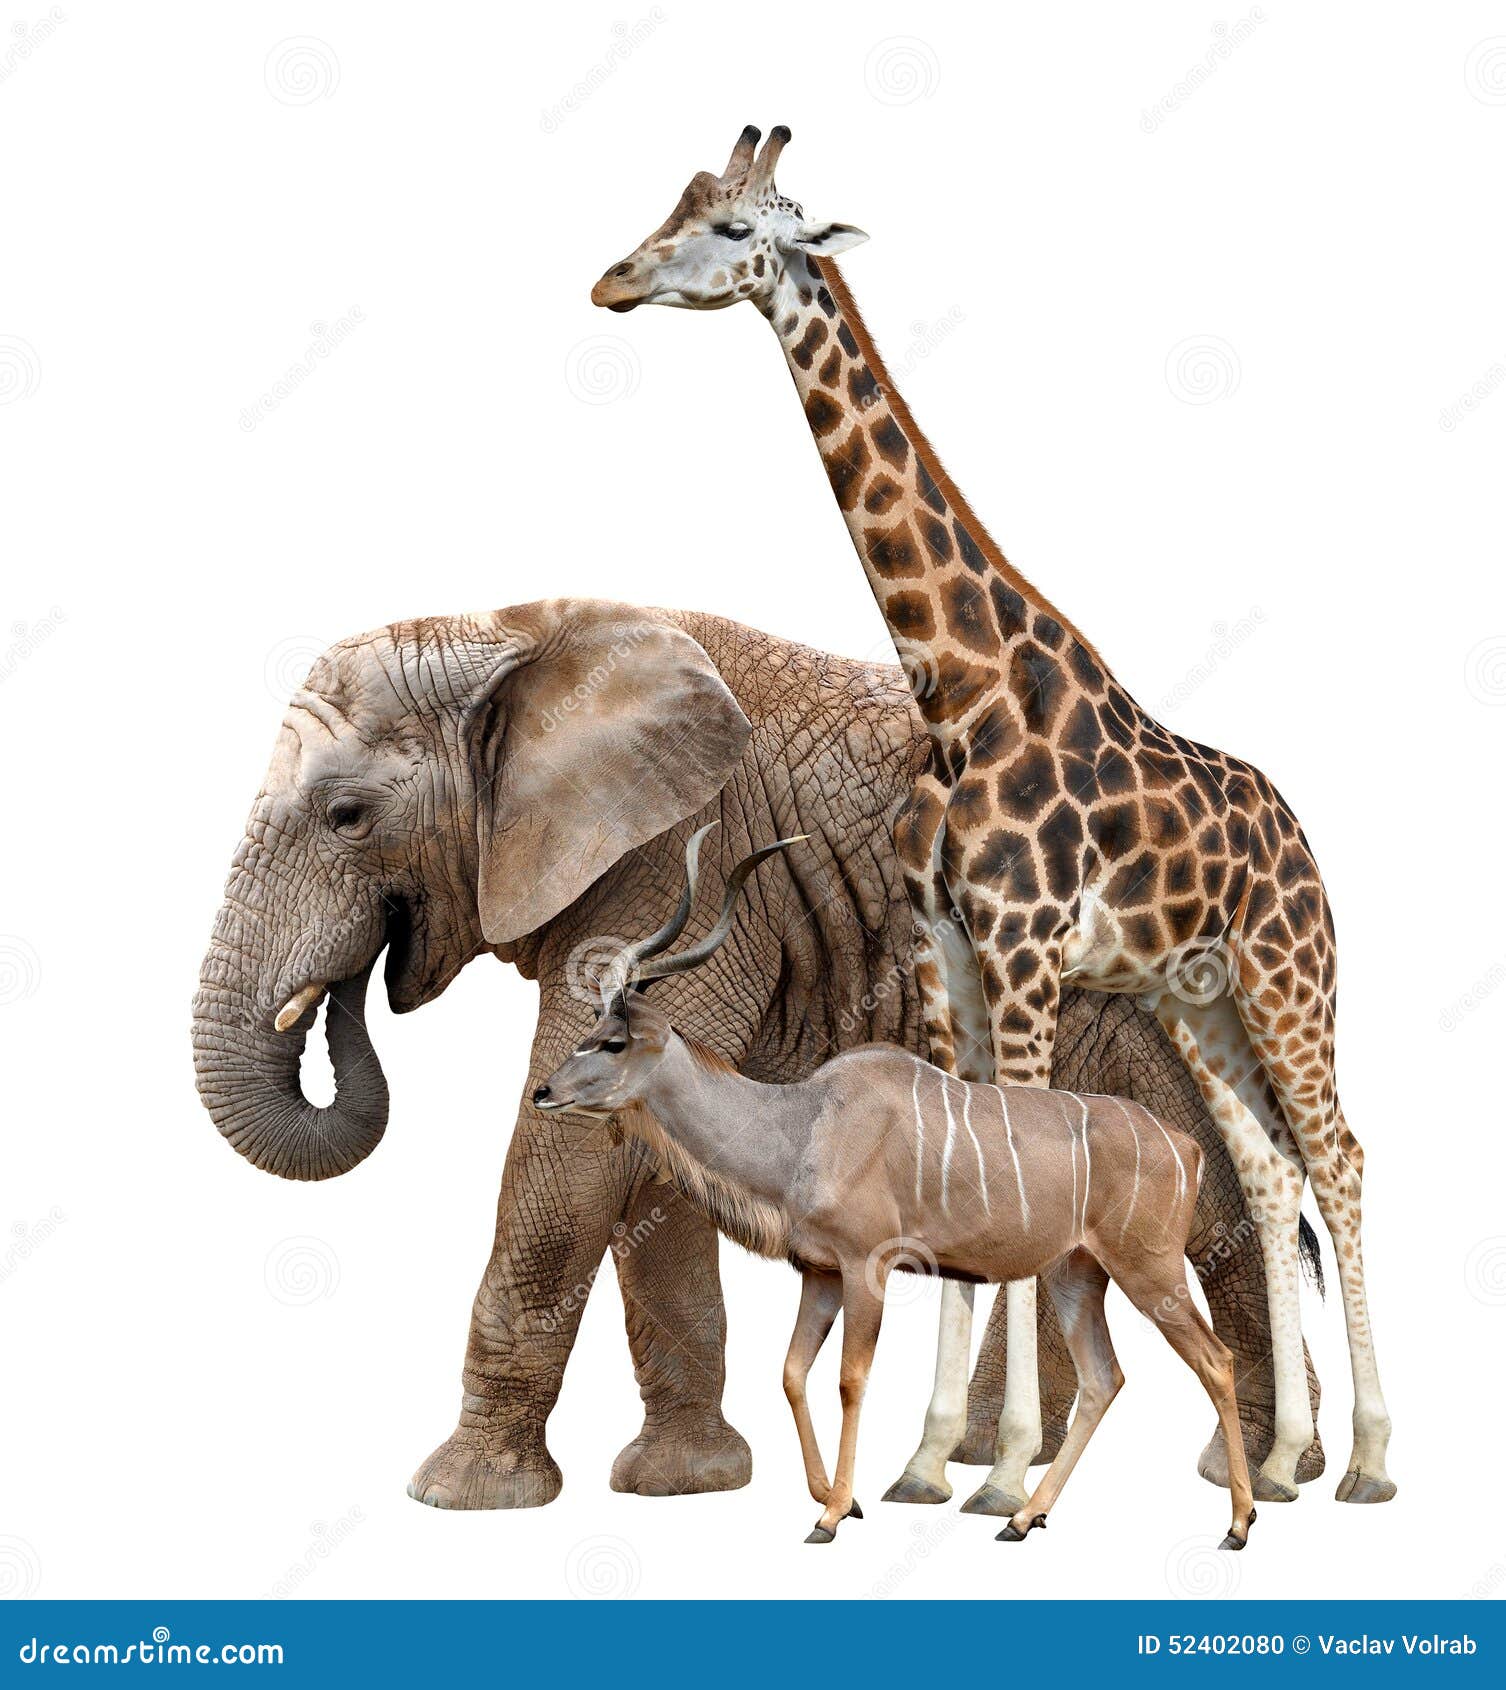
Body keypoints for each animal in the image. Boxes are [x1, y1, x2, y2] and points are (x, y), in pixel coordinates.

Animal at [193, 597, 1323, 1507]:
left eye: (347, 815)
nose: (355, 985)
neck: (516, 631)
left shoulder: (677, 863)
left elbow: (572, 1159)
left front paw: (461, 1497)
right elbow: (647, 1171)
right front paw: (686, 1483)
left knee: (1226, 1202)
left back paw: (1260, 1475)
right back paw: (1000, 1468)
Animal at [590, 124, 1394, 1509]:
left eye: (739, 229)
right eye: (674, 206)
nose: (613, 281)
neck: (957, 688)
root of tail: (1303, 841)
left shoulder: (1024, 951)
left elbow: (1023, 1151)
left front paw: (1008, 1465)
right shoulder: (943, 952)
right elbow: (959, 1148)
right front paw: (926, 1464)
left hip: (1289, 977)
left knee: (1341, 1158)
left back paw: (1378, 1460)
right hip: (1197, 997)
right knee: (1270, 1161)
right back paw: (1293, 1455)